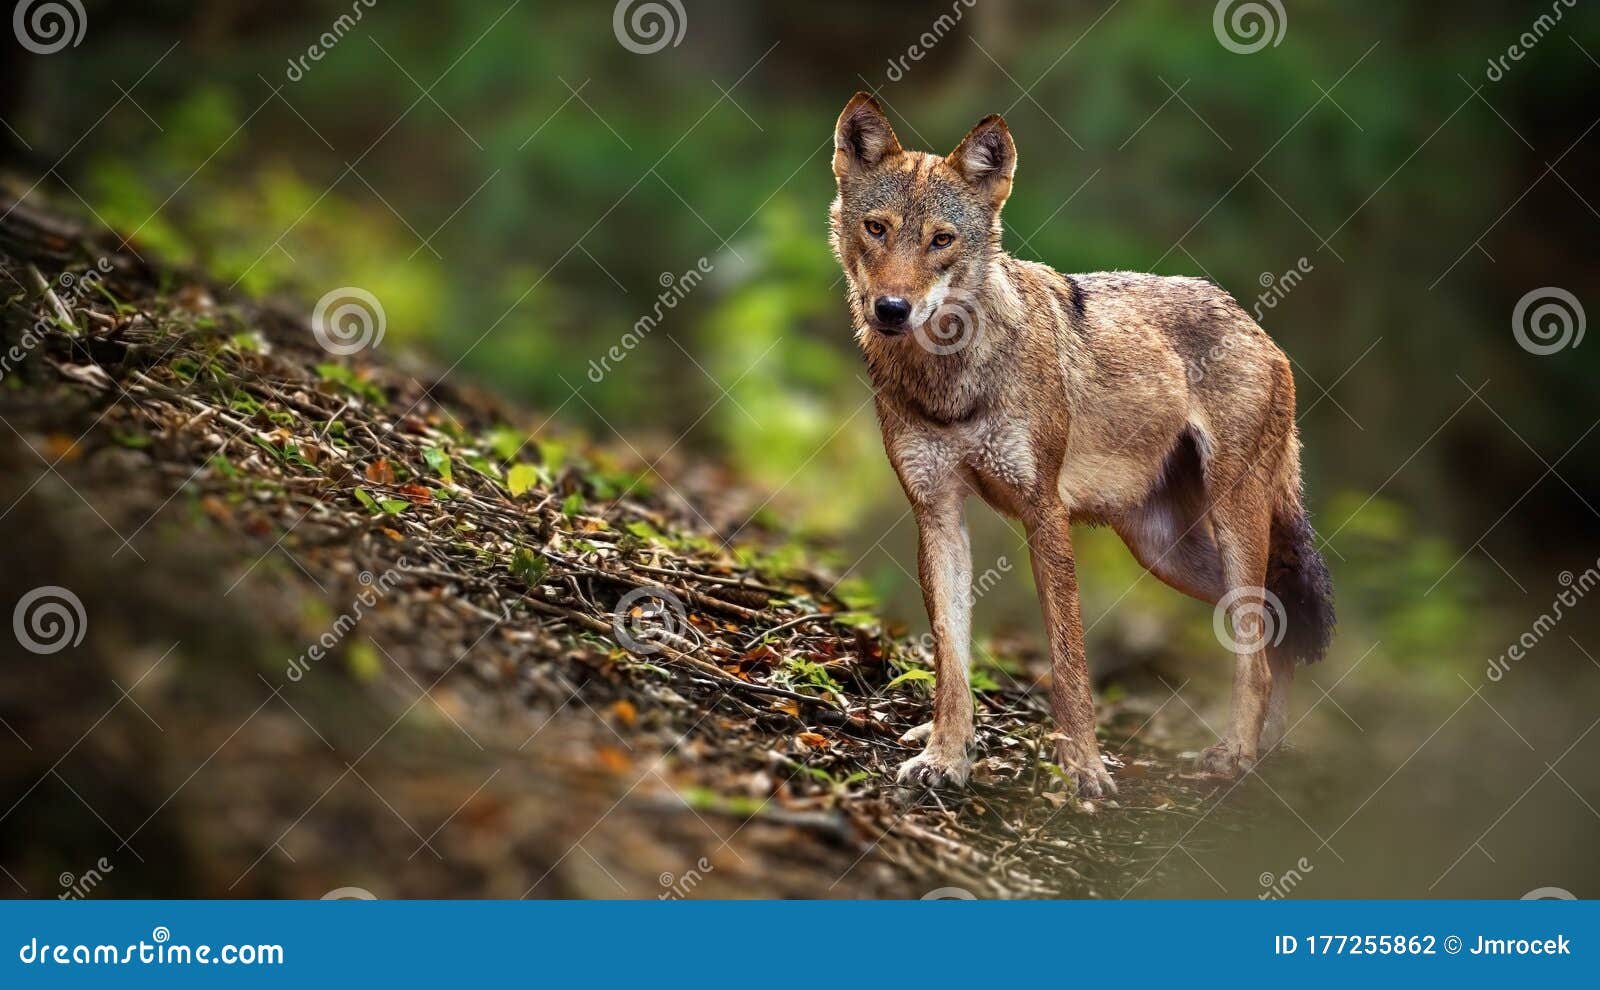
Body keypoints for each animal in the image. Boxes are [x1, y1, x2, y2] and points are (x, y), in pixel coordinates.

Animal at [828, 93, 1334, 797]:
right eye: (877, 229)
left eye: (941, 240)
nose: (892, 309)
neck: (952, 382)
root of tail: (1252, 320)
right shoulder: (937, 513)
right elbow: (952, 659)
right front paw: (946, 756)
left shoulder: (1045, 512)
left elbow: (1069, 662)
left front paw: (1085, 771)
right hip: (1165, 552)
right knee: (1276, 625)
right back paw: (1268, 753)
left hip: (1231, 525)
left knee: (1258, 640)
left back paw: (1236, 754)